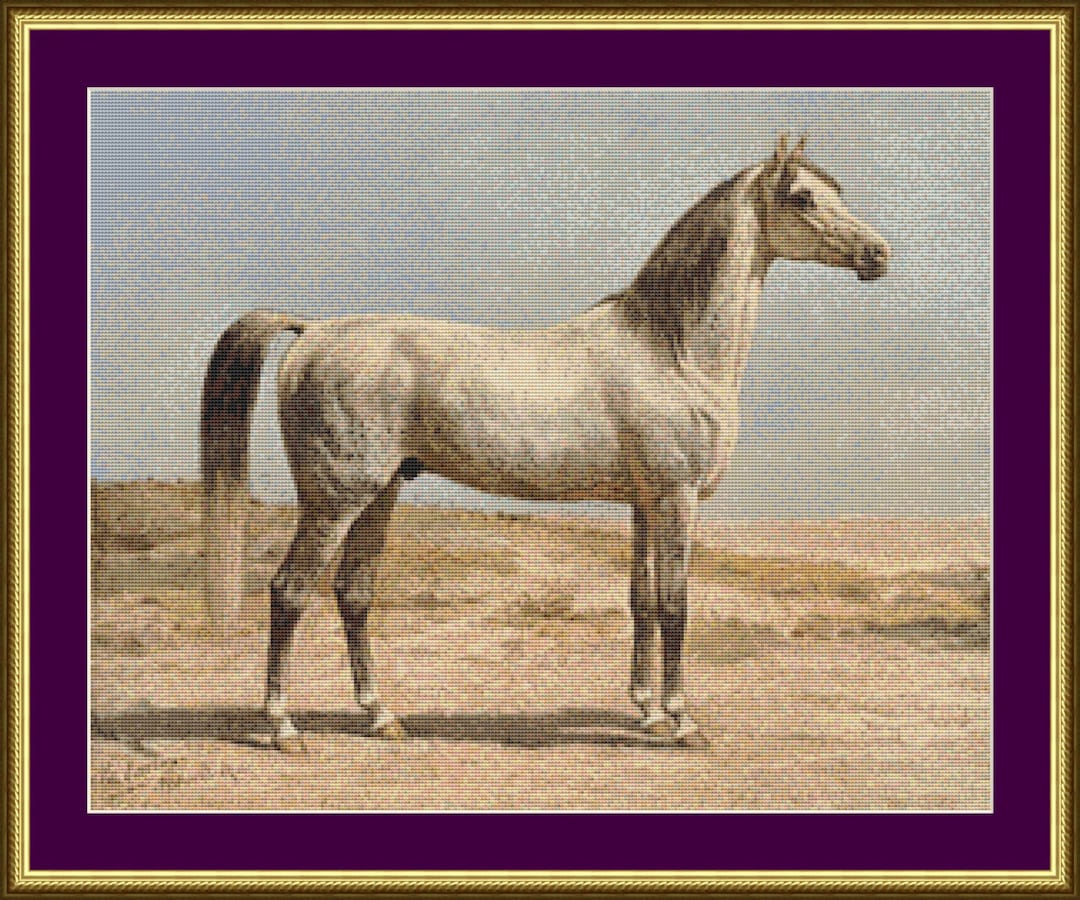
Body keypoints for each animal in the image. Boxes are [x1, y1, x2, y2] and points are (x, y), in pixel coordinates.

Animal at [200, 136, 889, 751]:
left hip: (381, 494)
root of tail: (313, 331)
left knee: (353, 593)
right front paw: (681, 721)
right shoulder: (677, 498)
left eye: (836, 192)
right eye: (803, 196)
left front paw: (645, 713)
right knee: (289, 592)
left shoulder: (644, 503)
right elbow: (675, 606)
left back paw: (381, 717)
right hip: (335, 500)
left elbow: (640, 603)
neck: (672, 350)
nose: (877, 254)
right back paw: (283, 728)